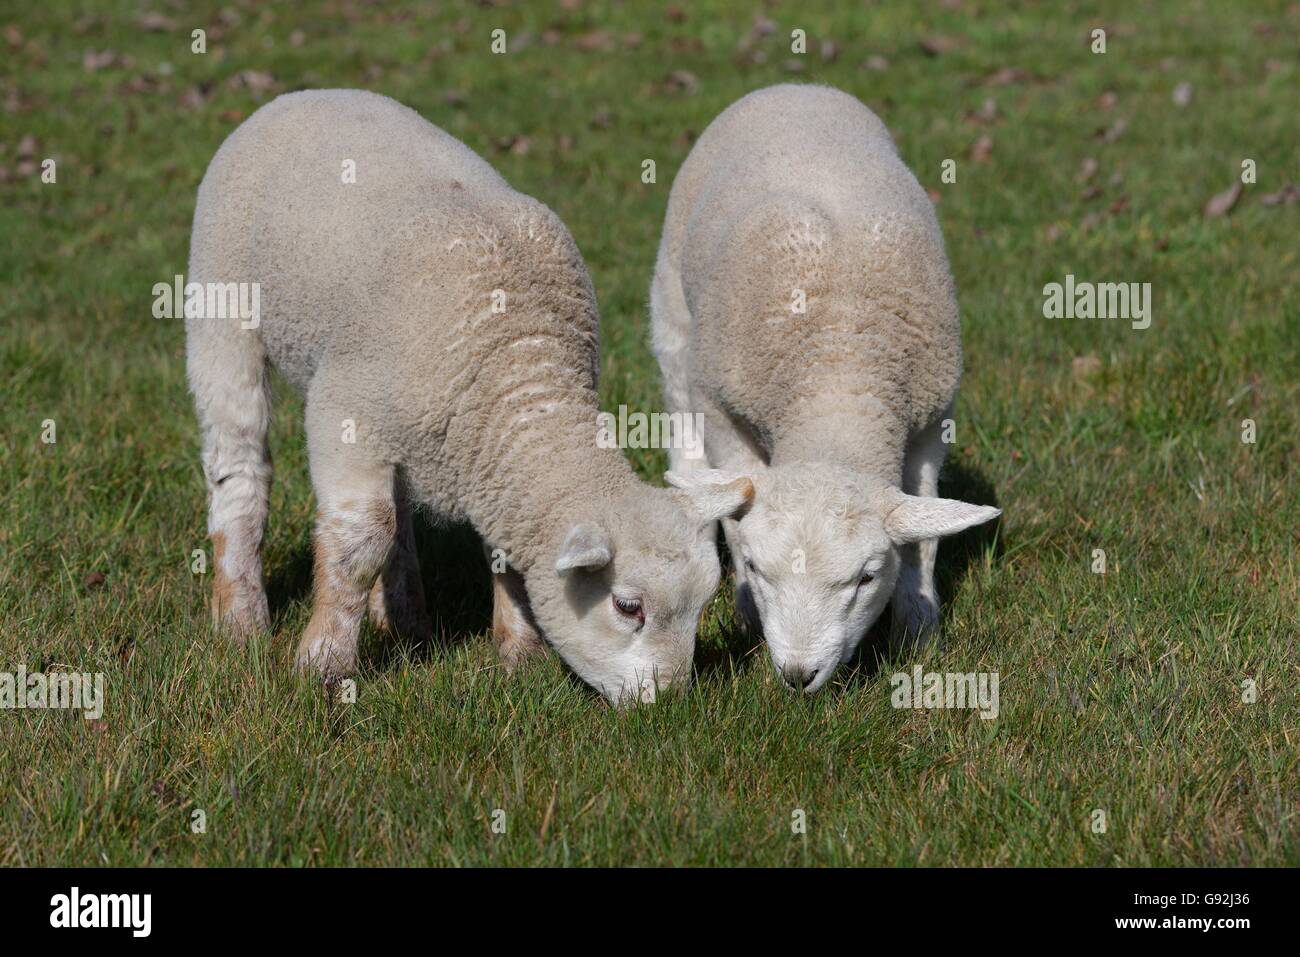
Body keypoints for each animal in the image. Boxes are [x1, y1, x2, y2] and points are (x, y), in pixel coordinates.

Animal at [186, 89, 753, 704]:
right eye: (628, 607)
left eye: (703, 605)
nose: (668, 701)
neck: (518, 361)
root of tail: (309, 93)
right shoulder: (343, 411)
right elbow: (359, 541)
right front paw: (323, 664)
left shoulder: (480, 451)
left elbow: (495, 549)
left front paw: (519, 656)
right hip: (221, 305)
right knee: (240, 461)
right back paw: (240, 618)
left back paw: (405, 620)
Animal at [650, 84, 1001, 694]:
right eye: (761, 570)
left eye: (866, 577)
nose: (797, 675)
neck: (838, 375)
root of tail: (794, 88)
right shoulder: (724, 413)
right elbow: (736, 519)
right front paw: (747, 610)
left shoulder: (930, 423)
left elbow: (924, 537)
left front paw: (918, 626)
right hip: (672, 313)